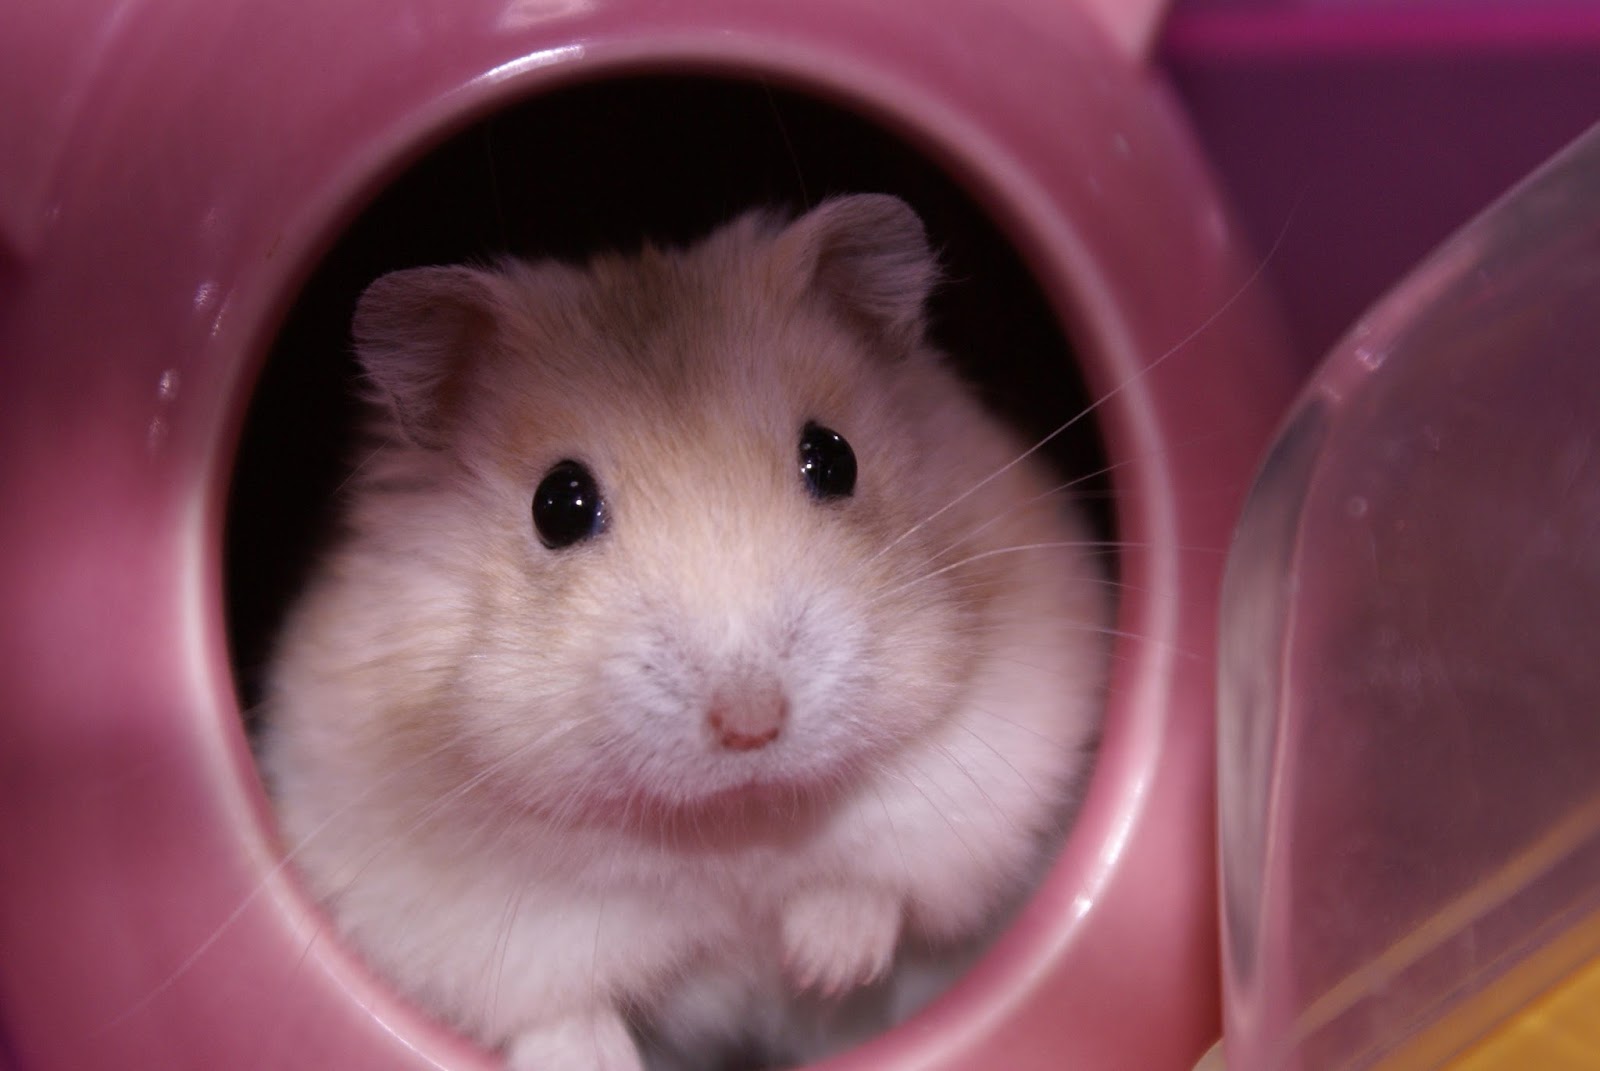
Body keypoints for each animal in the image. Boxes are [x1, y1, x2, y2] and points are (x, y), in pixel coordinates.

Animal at [260, 194, 1110, 1071]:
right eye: (557, 504)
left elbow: (875, 878)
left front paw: (822, 965)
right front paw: (597, 1058)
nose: (751, 724)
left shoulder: (995, 758)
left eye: (834, 457)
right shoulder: (427, 895)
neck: (731, 825)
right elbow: (550, 1002)